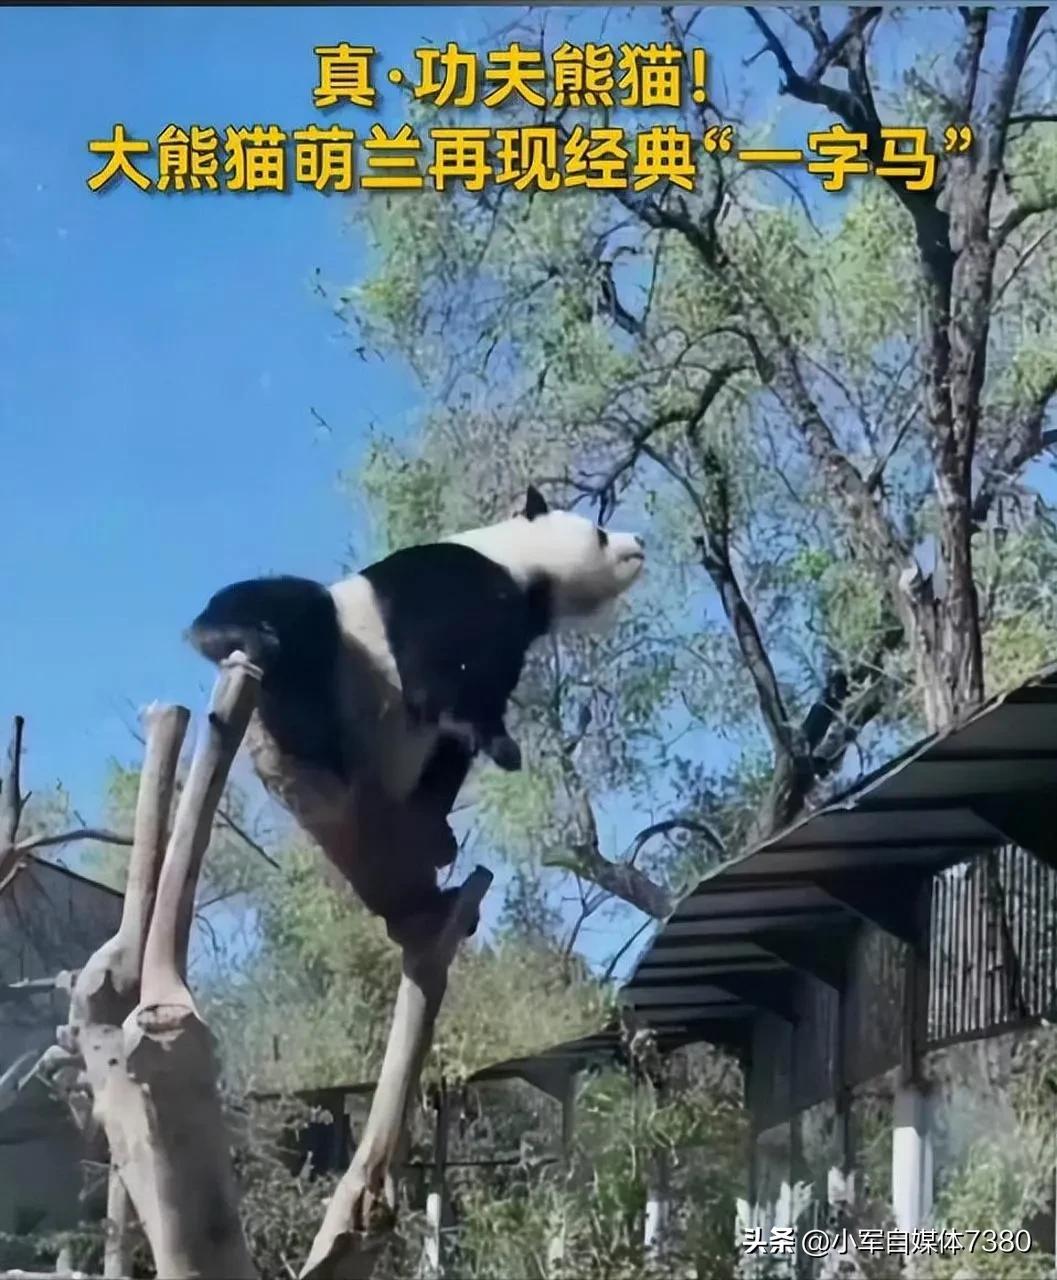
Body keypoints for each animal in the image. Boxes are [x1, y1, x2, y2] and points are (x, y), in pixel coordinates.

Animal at [186, 484, 646, 944]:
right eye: (601, 534)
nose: (638, 541)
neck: (520, 569)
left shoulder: (511, 636)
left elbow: (475, 704)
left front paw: (490, 746)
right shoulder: (447, 578)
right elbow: (436, 662)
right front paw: (484, 733)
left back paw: (434, 883)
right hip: (329, 675)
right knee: (291, 611)